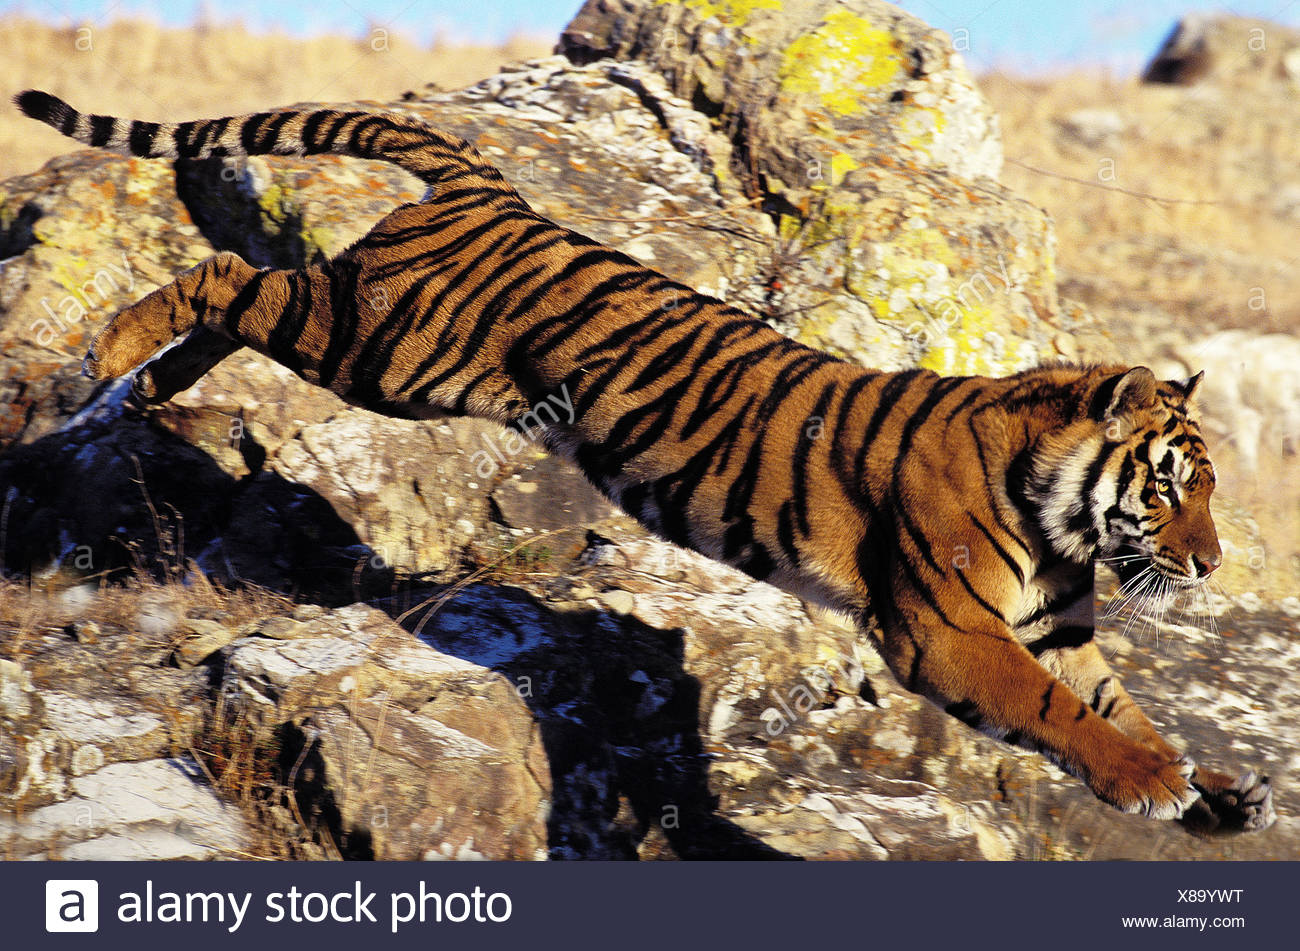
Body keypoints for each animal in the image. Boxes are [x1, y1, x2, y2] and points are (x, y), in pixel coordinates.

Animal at [15, 89, 1275, 836]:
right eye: (1175, 484)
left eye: (1207, 489)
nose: (1211, 566)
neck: (1057, 512)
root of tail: (489, 186)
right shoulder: (948, 631)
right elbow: (1060, 715)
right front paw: (1151, 786)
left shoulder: (1054, 629)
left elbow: (1127, 705)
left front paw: (1217, 786)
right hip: (384, 348)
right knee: (229, 277)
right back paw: (109, 358)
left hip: (385, 353)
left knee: (238, 296)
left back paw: (148, 386)